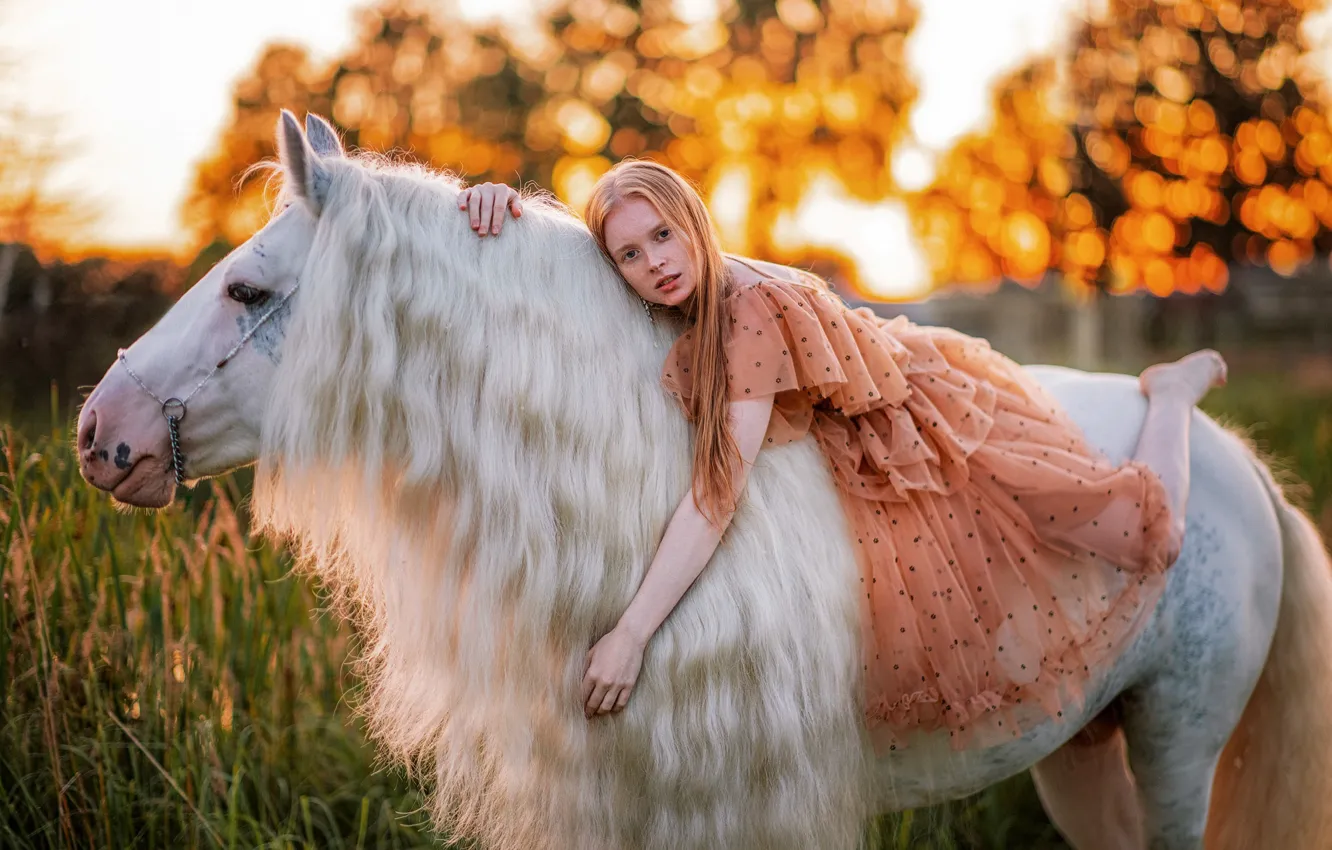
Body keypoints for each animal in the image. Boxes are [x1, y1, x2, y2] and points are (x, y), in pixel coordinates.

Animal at [76, 111, 1332, 850]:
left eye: (246, 290)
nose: (100, 431)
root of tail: (1240, 471)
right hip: (1083, 748)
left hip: (1176, 742)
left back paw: (1179, 383)